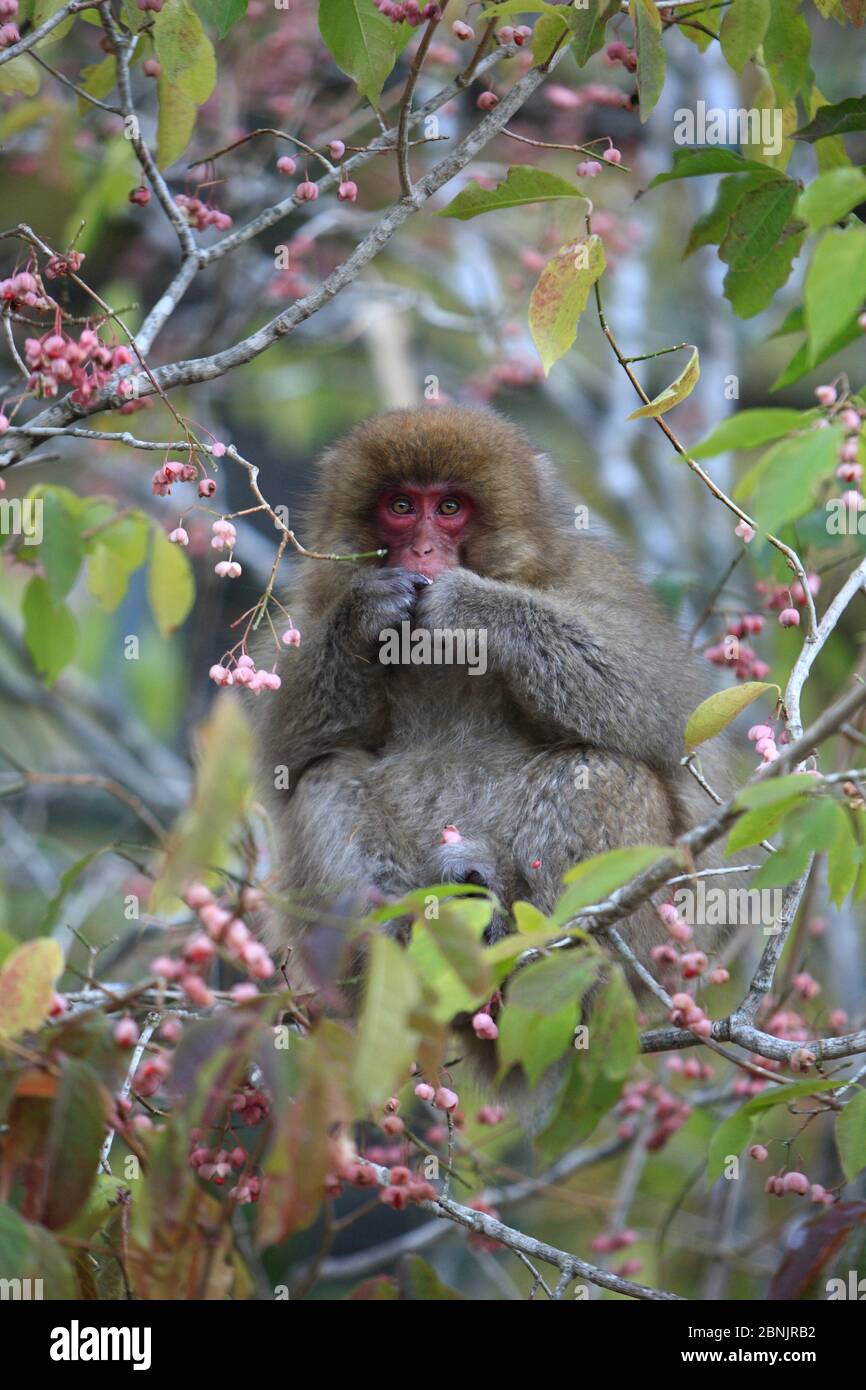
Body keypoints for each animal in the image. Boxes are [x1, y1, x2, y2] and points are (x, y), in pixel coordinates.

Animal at [256, 405, 731, 1078]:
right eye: (401, 505)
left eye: (450, 507)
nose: (424, 550)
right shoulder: (308, 605)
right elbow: (288, 749)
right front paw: (363, 615)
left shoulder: (588, 578)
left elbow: (660, 706)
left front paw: (475, 606)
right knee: (327, 778)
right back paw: (411, 940)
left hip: (648, 939)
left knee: (601, 770)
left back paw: (538, 955)